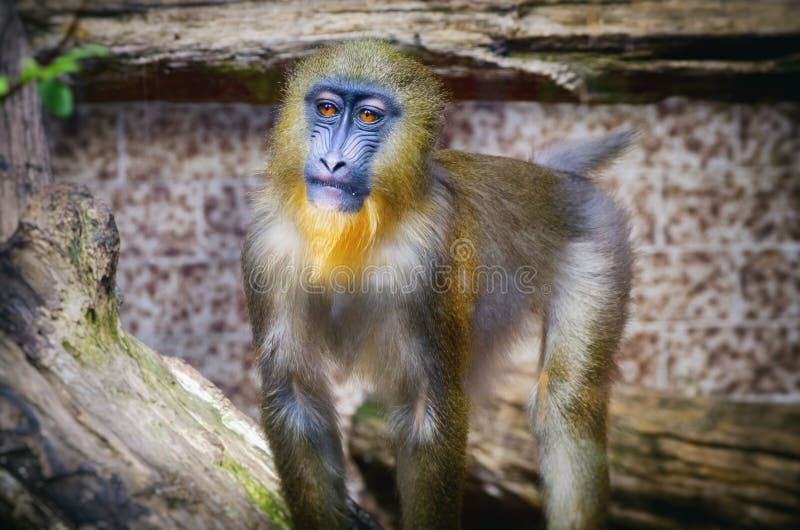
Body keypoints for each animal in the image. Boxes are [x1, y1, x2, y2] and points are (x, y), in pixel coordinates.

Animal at [242, 40, 632, 530]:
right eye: (327, 108)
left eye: (367, 116)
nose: (332, 161)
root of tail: (550, 177)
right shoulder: (266, 248)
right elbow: (294, 393)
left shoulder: (433, 260)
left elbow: (431, 404)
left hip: (598, 243)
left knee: (567, 399)